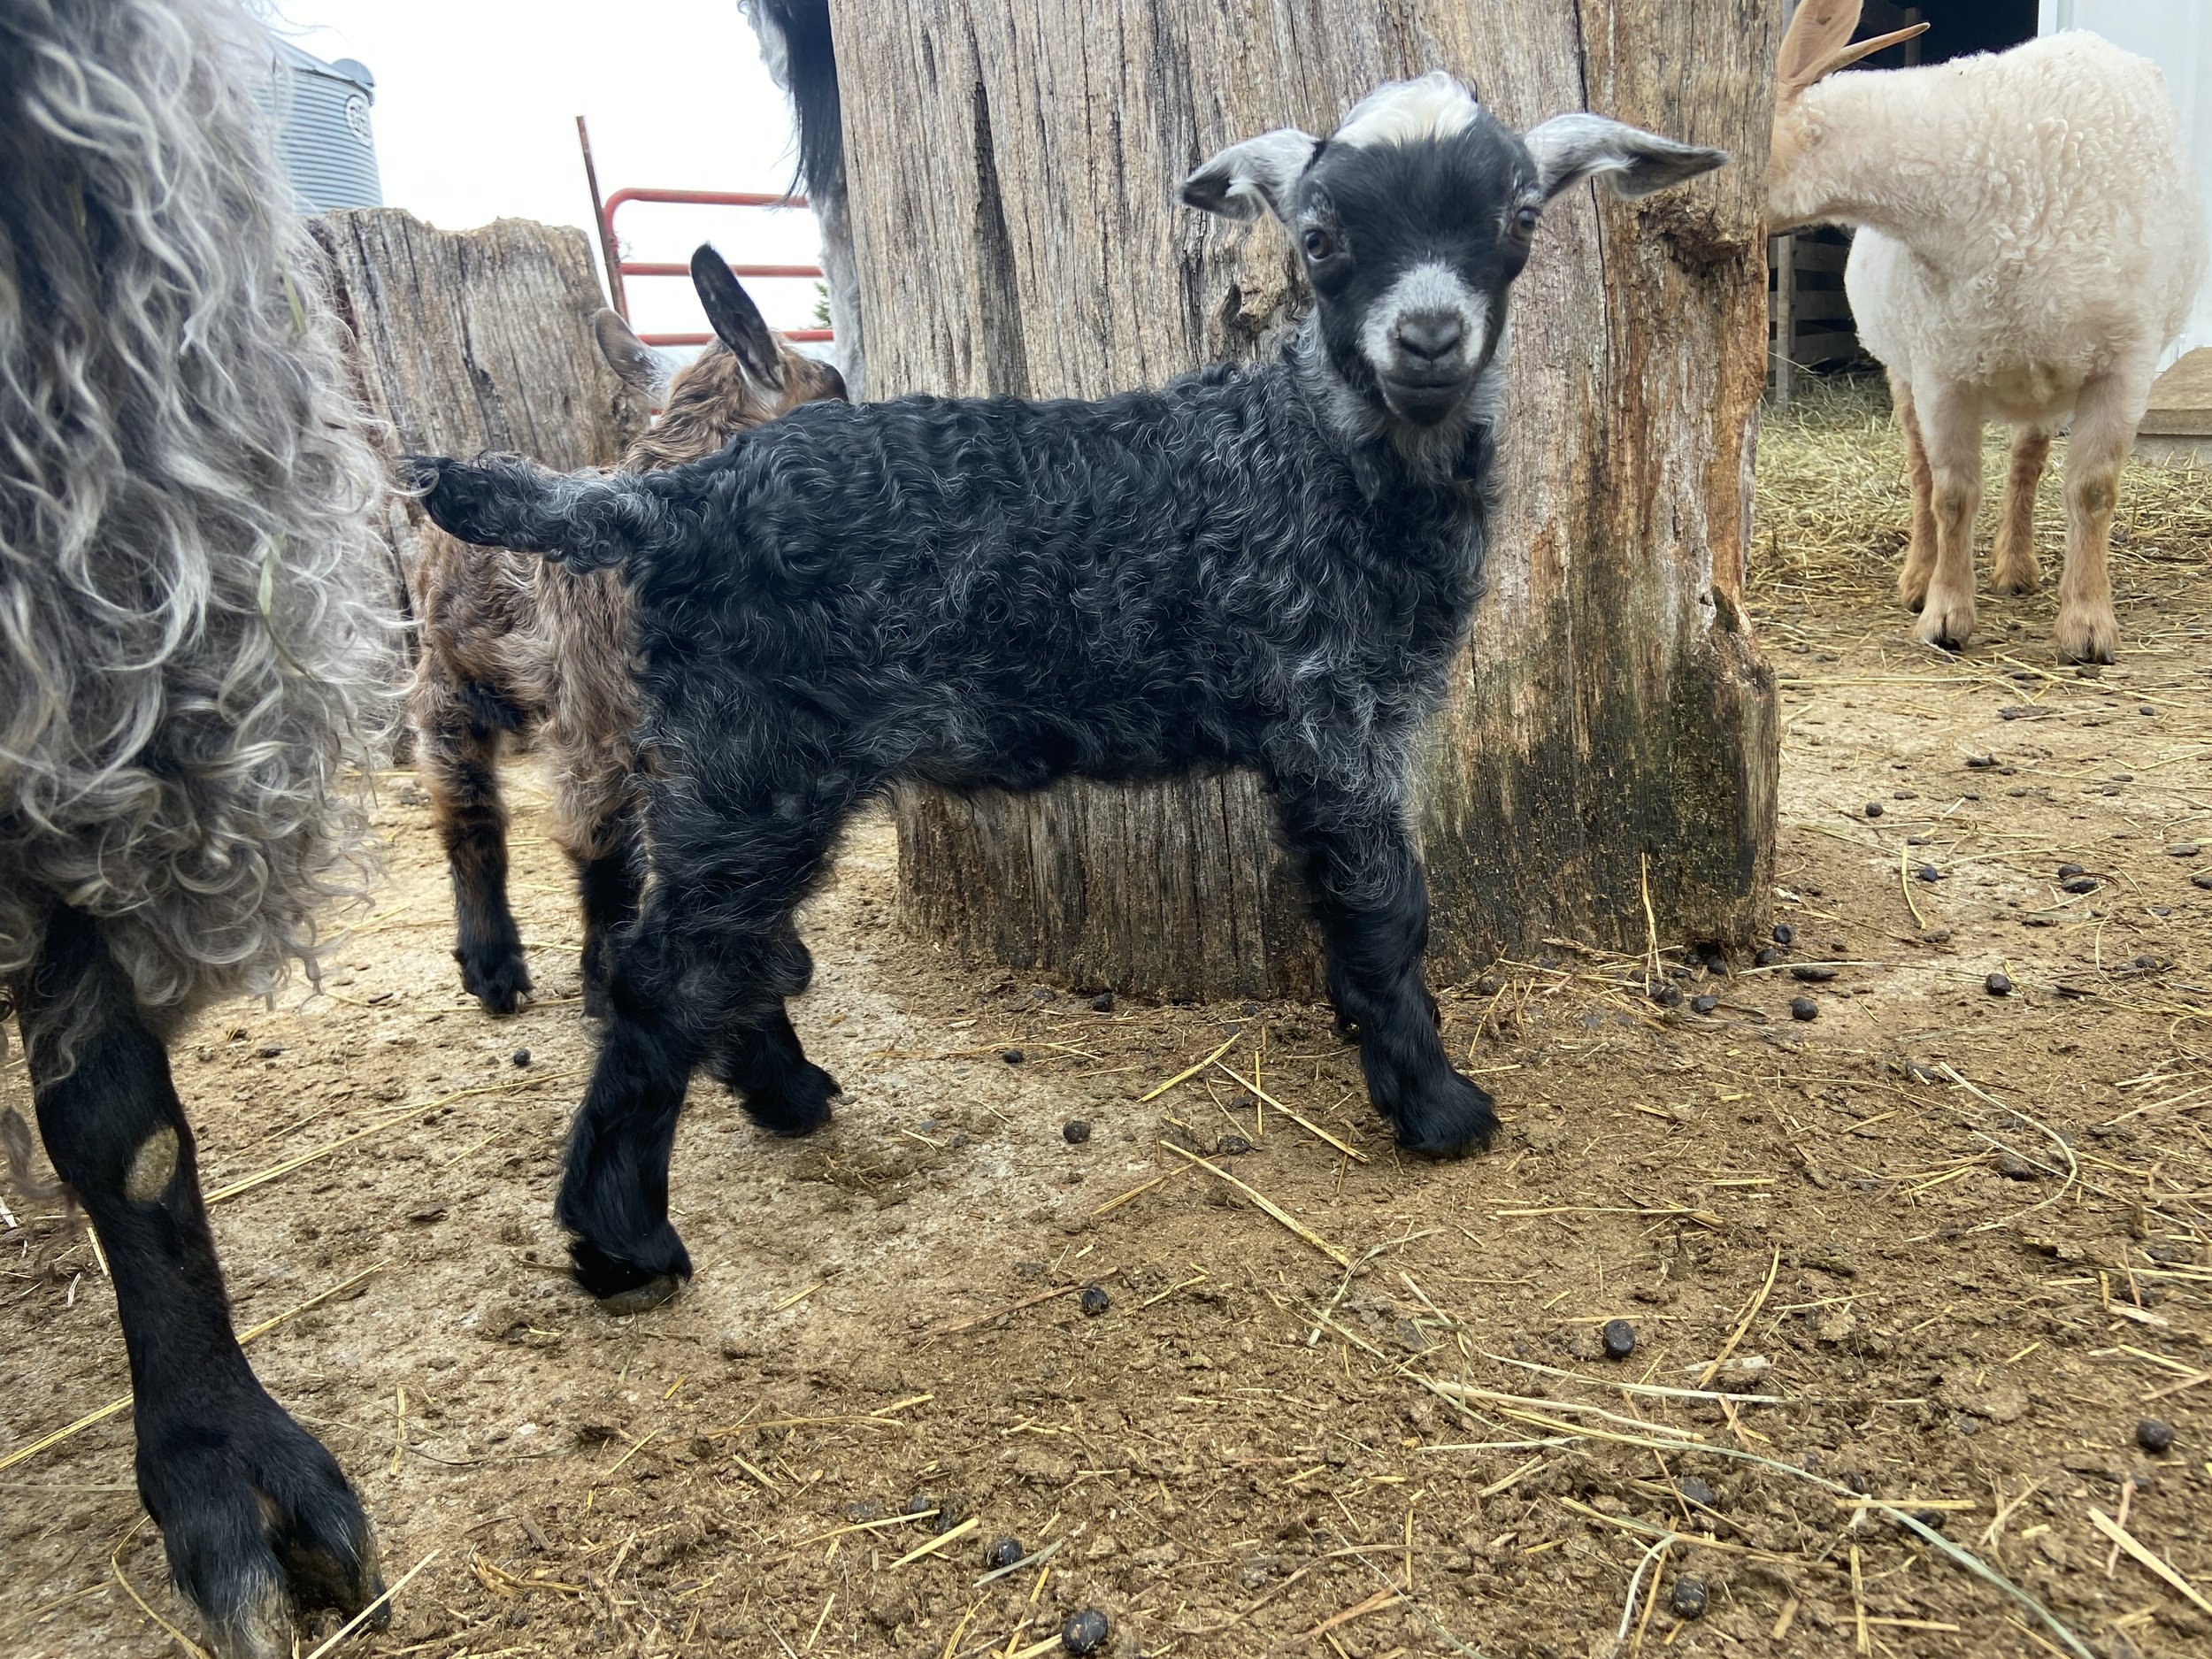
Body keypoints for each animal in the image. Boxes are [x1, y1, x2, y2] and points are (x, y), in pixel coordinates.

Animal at [410, 247, 845, 1017]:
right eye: (836, 389)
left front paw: (776, 959)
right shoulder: (595, 728)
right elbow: (604, 854)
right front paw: (607, 982)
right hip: (449, 683)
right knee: (467, 810)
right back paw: (493, 966)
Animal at [1769, 3, 2207, 662]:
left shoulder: (2125, 359)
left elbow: (2093, 490)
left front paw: (2087, 625)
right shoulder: (1941, 365)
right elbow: (1951, 493)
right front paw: (1945, 615)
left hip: (2041, 369)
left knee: (2026, 462)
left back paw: (2017, 568)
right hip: (1905, 366)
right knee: (1921, 472)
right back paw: (1919, 579)